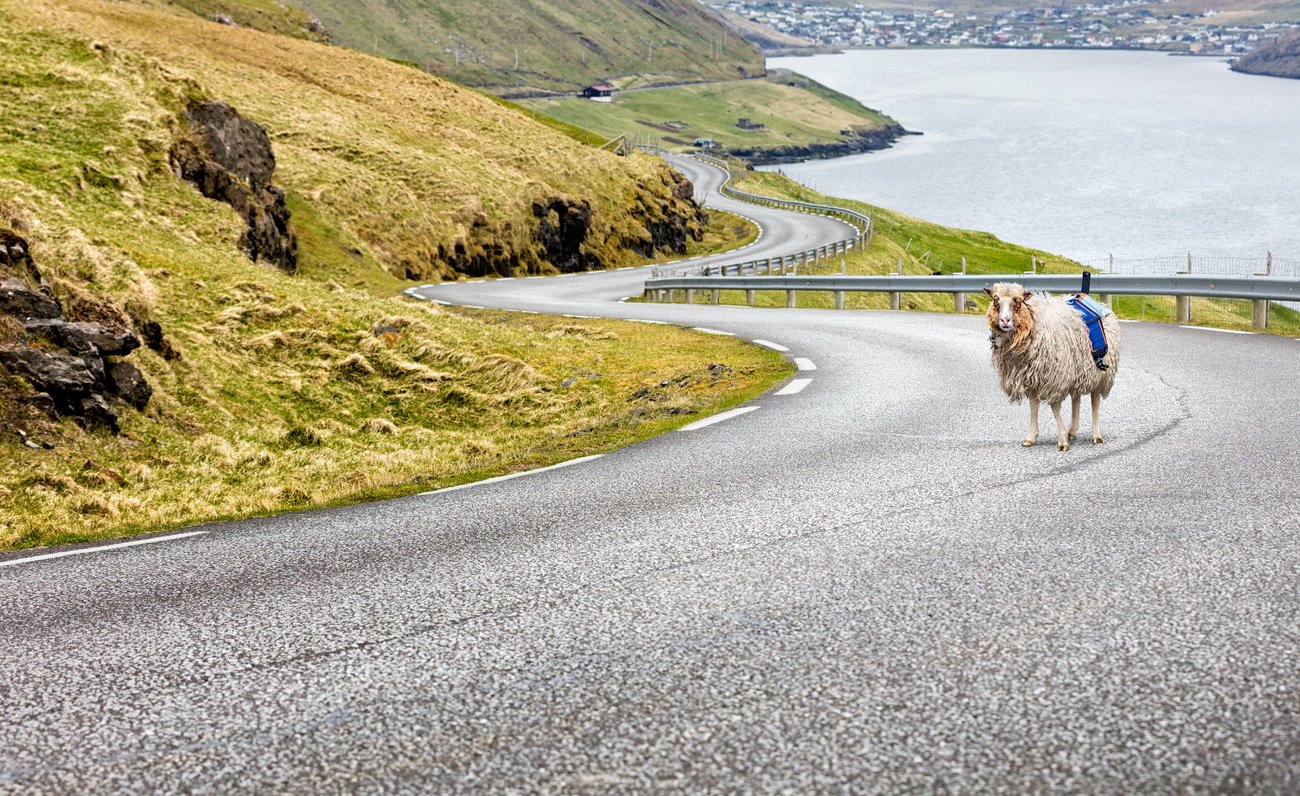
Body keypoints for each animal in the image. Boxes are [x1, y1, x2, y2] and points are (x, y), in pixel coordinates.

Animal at [984, 282, 1121, 451]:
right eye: (995, 301)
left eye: (1018, 302)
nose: (1004, 320)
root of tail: (1101, 304)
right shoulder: (1031, 376)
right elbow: (1033, 405)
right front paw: (1031, 437)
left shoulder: (1054, 376)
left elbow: (1055, 407)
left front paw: (1062, 441)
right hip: (1077, 368)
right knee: (1076, 398)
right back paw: (1072, 431)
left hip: (1099, 373)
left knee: (1095, 400)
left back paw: (1096, 435)